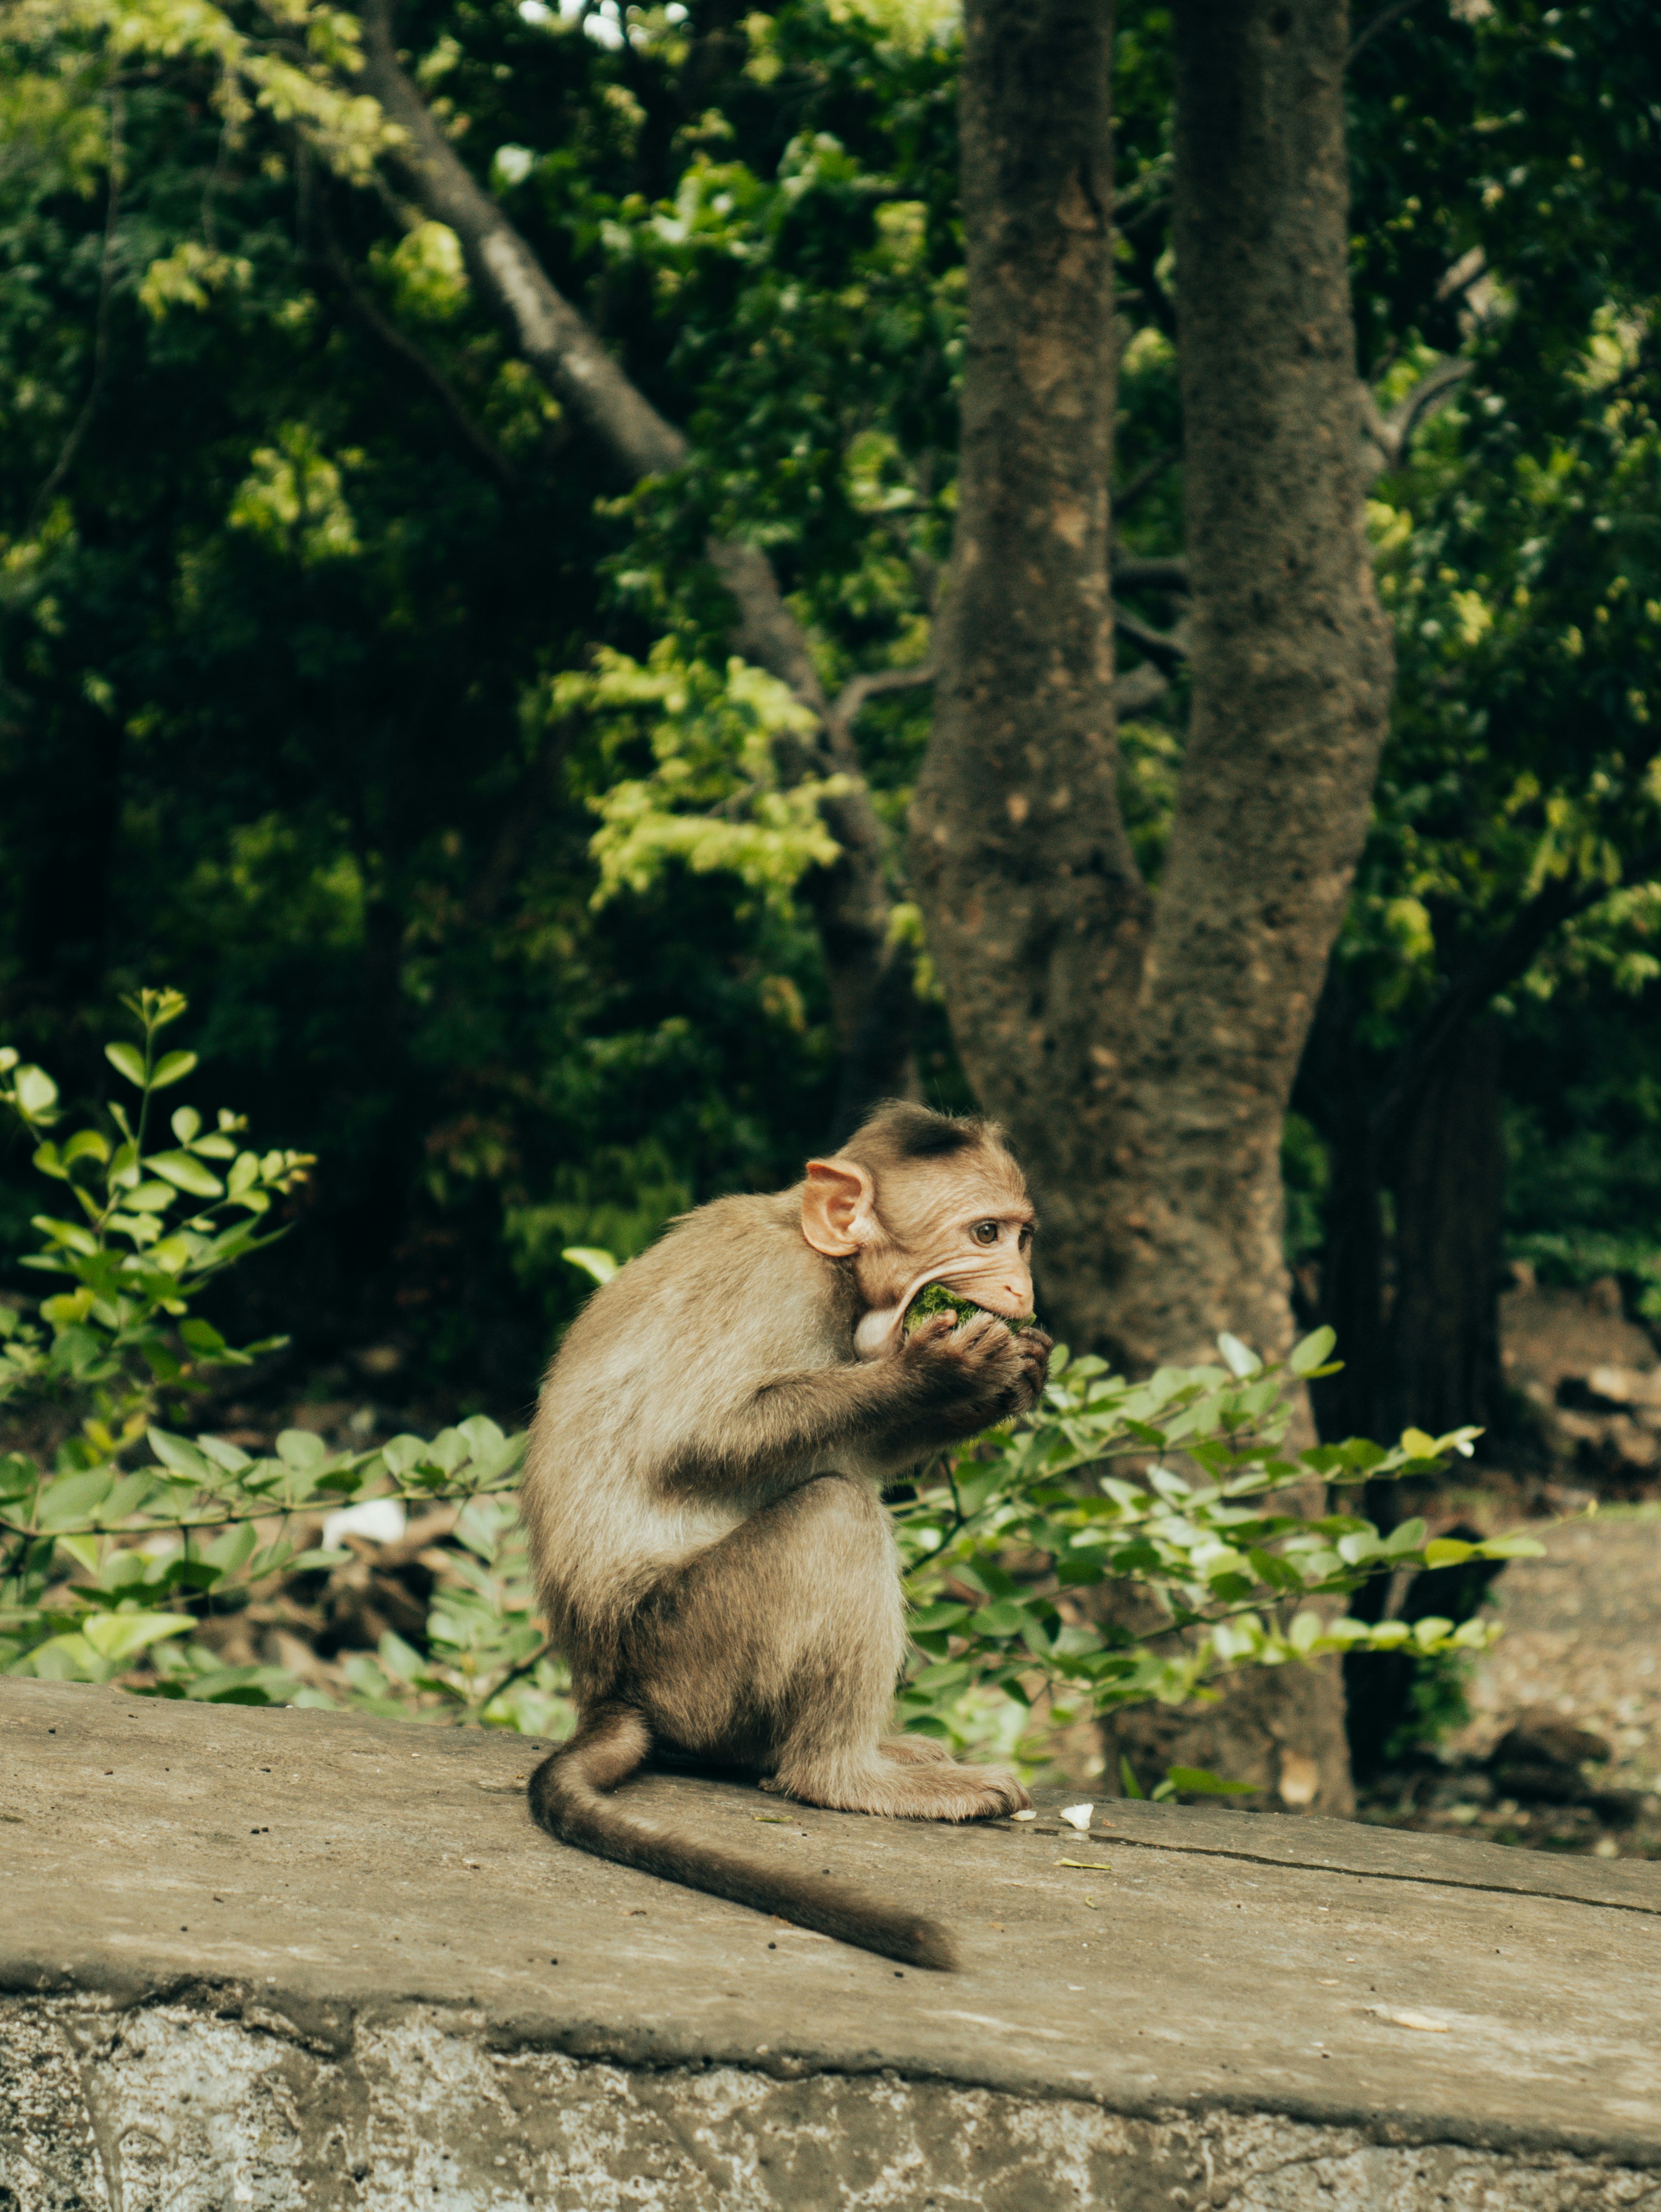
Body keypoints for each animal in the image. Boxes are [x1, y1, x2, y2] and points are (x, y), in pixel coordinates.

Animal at [520, 1102, 1053, 1971]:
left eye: (1021, 1236)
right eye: (984, 1234)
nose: (1020, 1287)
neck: (835, 1270)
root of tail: (608, 1690)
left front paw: (999, 1385)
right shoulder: (778, 1290)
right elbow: (698, 1437)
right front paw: (936, 1376)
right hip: (690, 1656)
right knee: (833, 1514)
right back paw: (840, 1774)